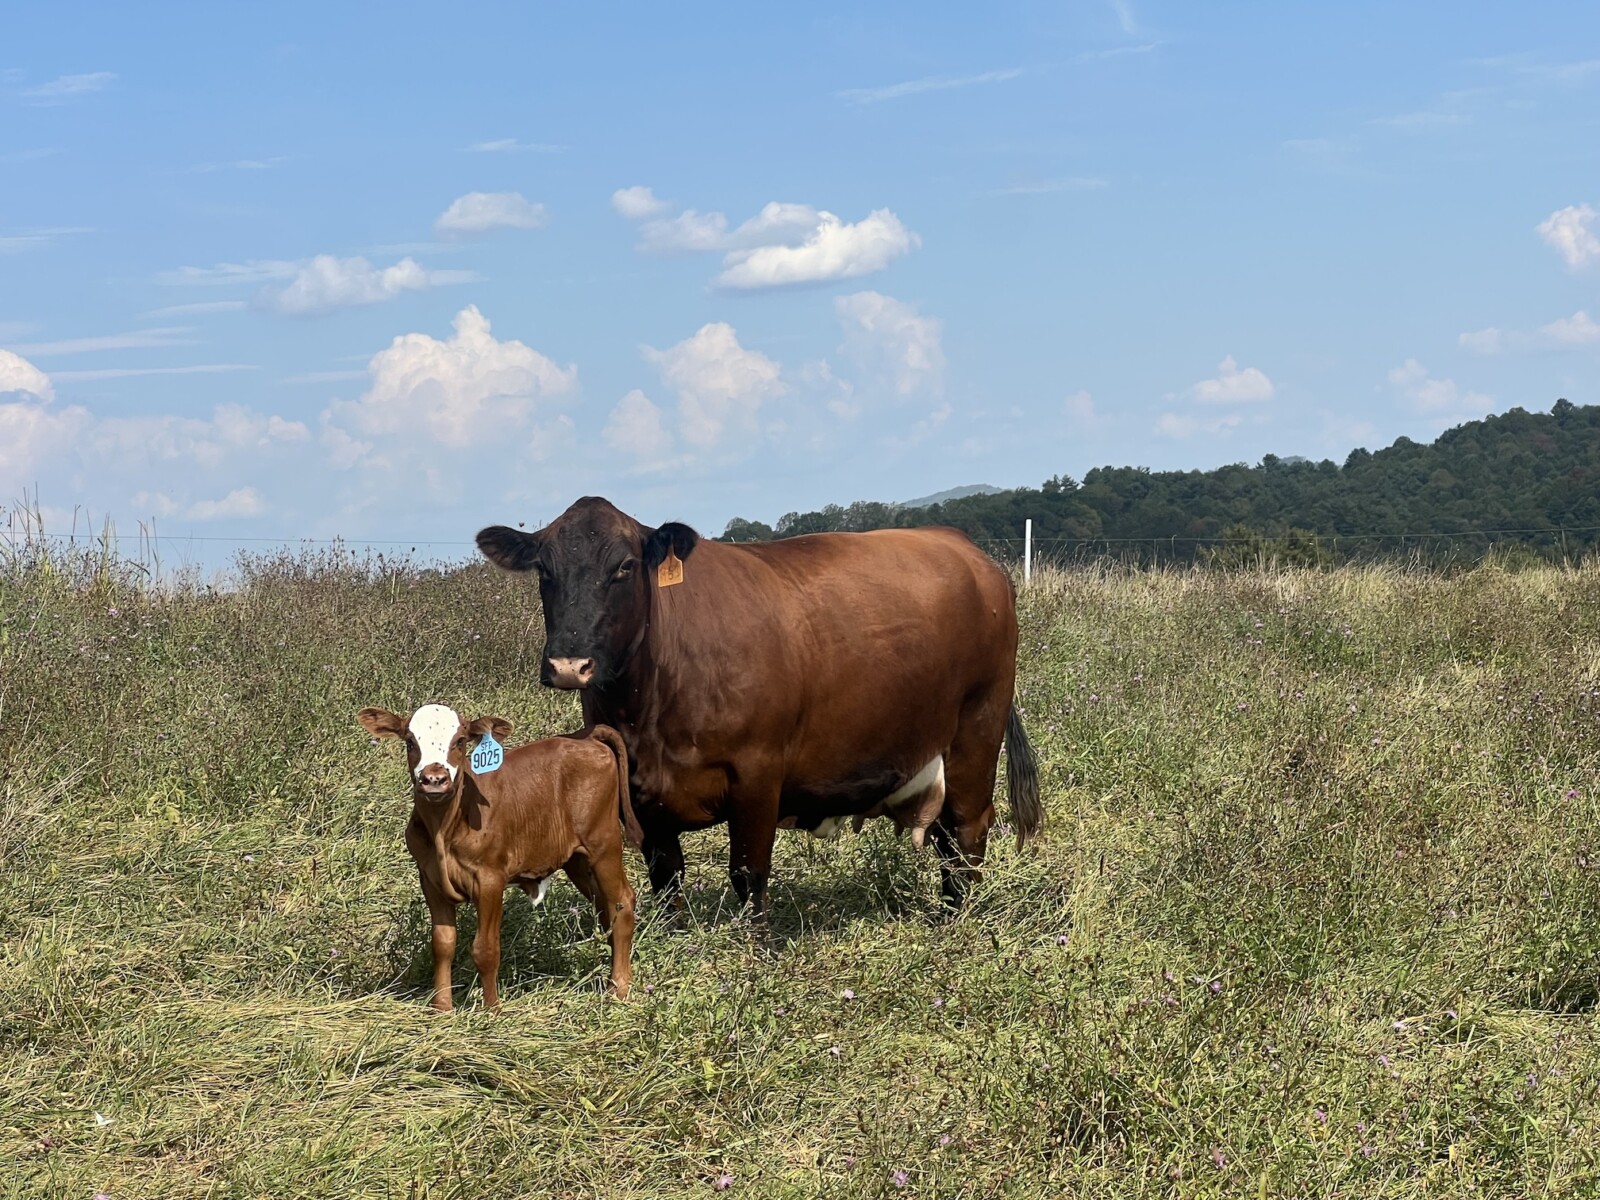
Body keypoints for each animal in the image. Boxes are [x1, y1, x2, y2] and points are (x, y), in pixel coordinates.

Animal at [358, 703, 642, 1007]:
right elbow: (442, 943)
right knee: (604, 906)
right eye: (410, 742)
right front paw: (441, 1008)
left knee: (622, 902)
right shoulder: (429, 878)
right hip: (577, 860)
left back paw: (619, 988)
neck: (444, 828)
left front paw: (491, 1009)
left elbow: (485, 949)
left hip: (604, 844)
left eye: (460, 741)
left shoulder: (490, 878)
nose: (434, 780)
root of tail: (585, 736)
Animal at [475, 496, 1042, 919]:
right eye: (544, 571)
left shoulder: (758, 772)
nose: (570, 664)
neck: (648, 712)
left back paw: (953, 921)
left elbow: (749, 873)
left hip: (976, 729)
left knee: (966, 830)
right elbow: (666, 876)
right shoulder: (639, 787)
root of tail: (963, 545)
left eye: (625, 567)